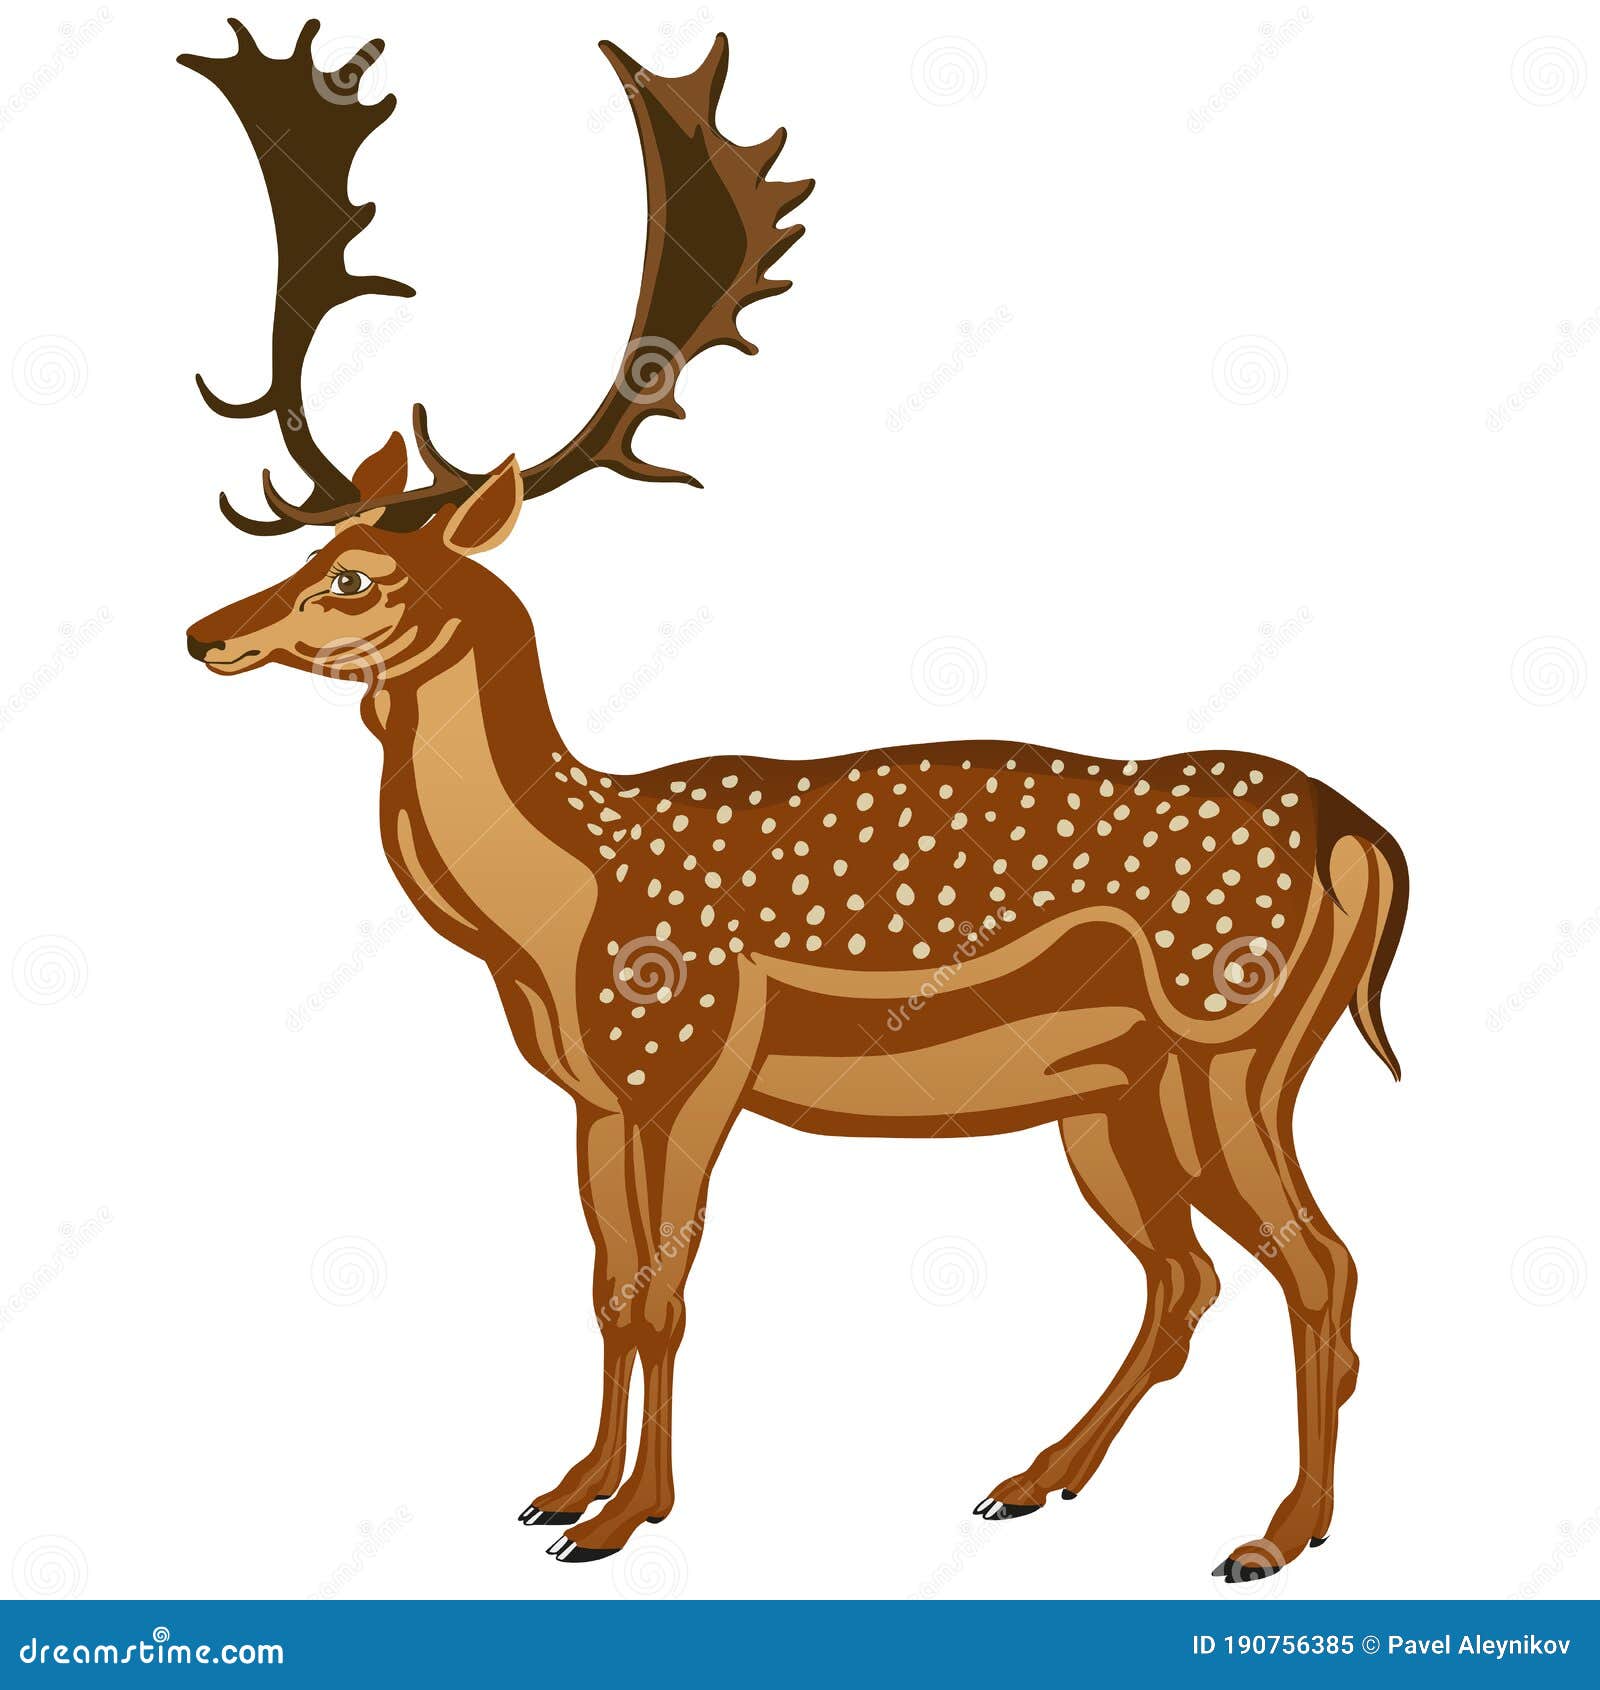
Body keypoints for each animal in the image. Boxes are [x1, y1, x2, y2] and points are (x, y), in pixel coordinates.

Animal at [181, 20, 1408, 1580]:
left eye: (357, 576)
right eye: (306, 549)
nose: (204, 633)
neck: (558, 909)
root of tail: (1357, 836)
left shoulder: (693, 1050)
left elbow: (665, 1285)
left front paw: (623, 1523)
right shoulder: (596, 1090)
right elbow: (603, 1279)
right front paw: (562, 1487)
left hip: (1234, 1040)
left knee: (1322, 1262)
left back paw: (1273, 1535)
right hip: (1113, 1095)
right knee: (1187, 1276)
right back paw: (1029, 1480)